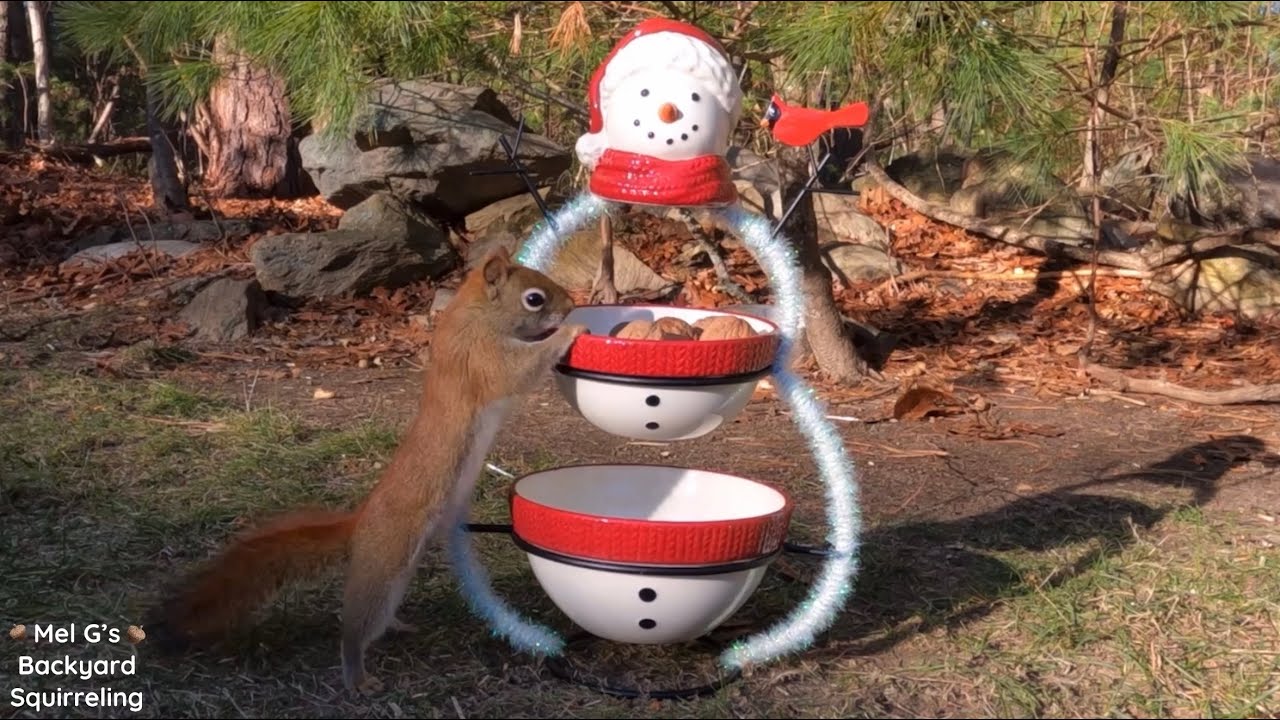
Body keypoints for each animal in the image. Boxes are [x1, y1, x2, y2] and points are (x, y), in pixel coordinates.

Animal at [146, 246, 587, 694]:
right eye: (534, 298)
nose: (572, 304)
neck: (473, 313)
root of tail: (360, 528)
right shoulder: (481, 358)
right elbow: (518, 371)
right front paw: (569, 332)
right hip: (385, 562)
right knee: (356, 626)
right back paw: (356, 675)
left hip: (400, 571)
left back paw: (399, 627)